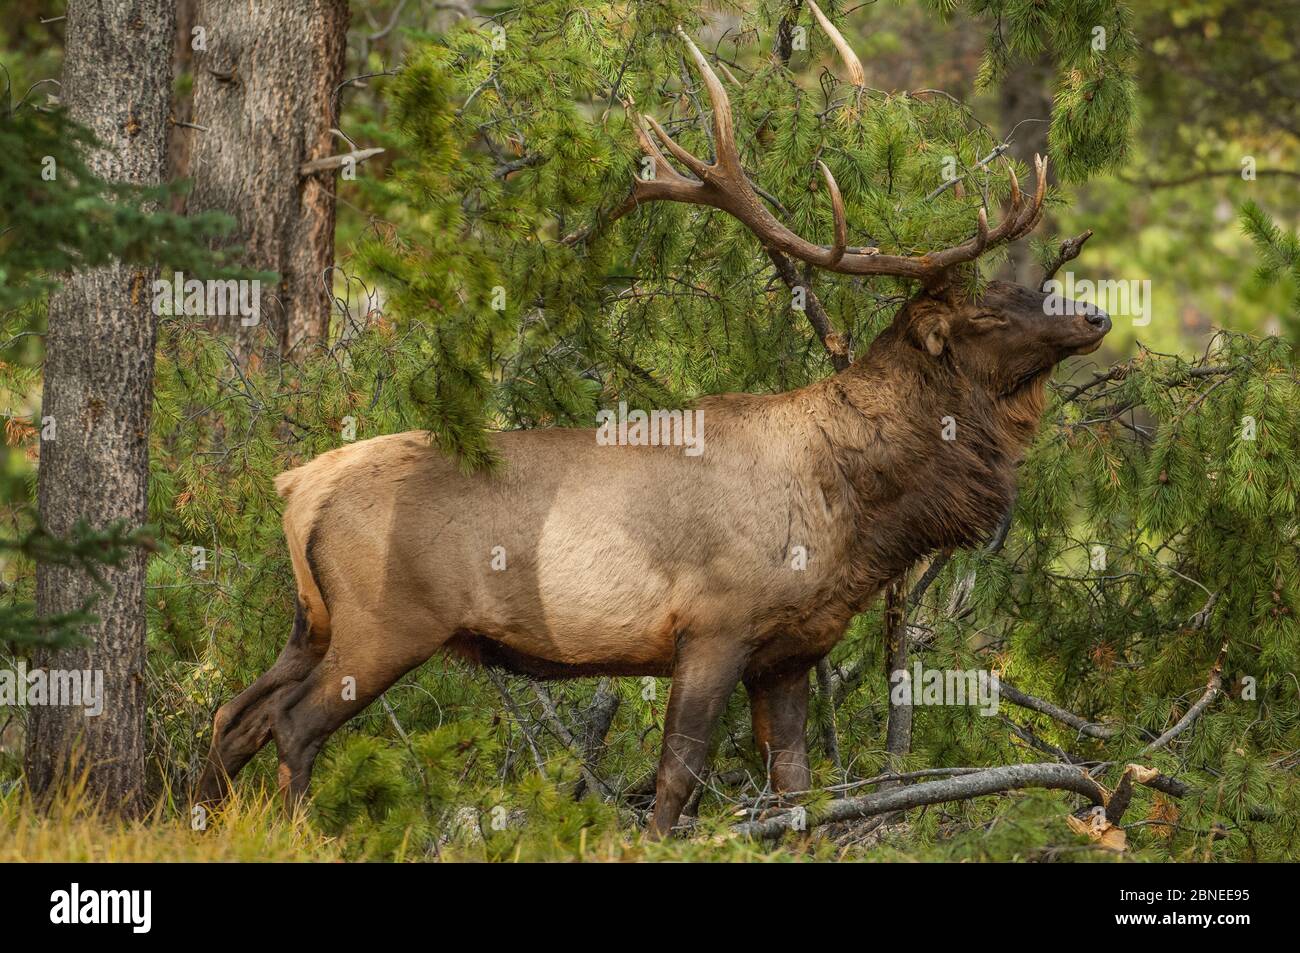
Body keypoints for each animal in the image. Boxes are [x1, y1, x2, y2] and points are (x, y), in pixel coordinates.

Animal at [196, 19, 1110, 838]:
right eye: (988, 312)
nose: (1096, 314)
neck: (854, 515)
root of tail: (298, 485)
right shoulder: (713, 621)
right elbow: (678, 777)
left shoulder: (791, 651)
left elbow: (799, 794)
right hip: (387, 621)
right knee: (293, 723)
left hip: (311, 618)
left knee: (234, 712)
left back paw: (194, 815)